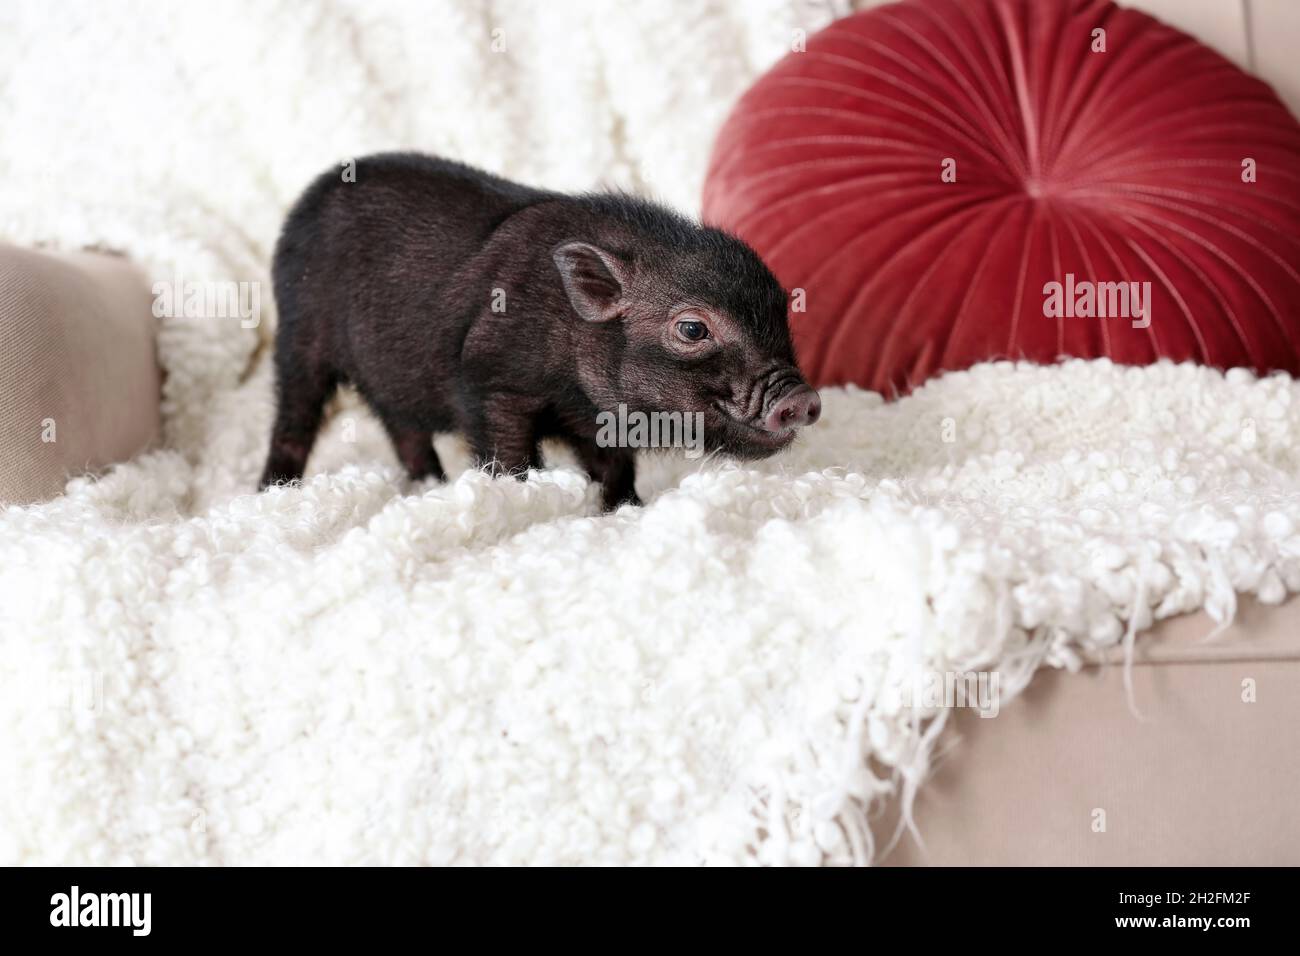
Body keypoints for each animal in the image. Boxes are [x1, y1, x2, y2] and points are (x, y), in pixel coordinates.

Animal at [259, 152, 821, 510]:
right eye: (691, 328)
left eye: (782, 314)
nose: (803, 397)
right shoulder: (491, 379)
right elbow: (508, 454)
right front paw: (519, 495)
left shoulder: (592, 417)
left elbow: (616, 467)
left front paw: (626, 508)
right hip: (299, 335)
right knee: (293, 417)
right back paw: (272, 492)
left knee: (401, 424)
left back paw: (431, 483)